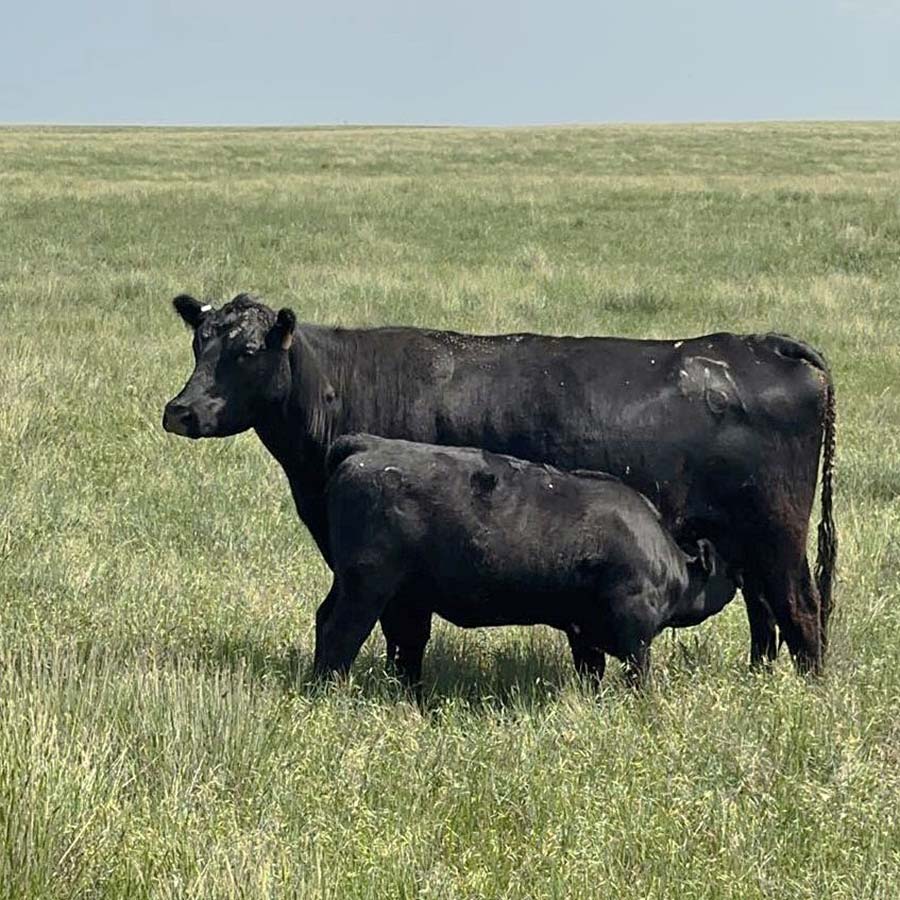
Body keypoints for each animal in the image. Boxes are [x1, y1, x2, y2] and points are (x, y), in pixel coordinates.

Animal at [315, 434, 742, 687]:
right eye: (726, 566)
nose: (740, 578)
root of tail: (368, 446)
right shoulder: (633, 624)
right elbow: (638, 672)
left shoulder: (583, 630)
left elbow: (591, 670)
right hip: (367, 587)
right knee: (340, 632)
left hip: (370, 588)